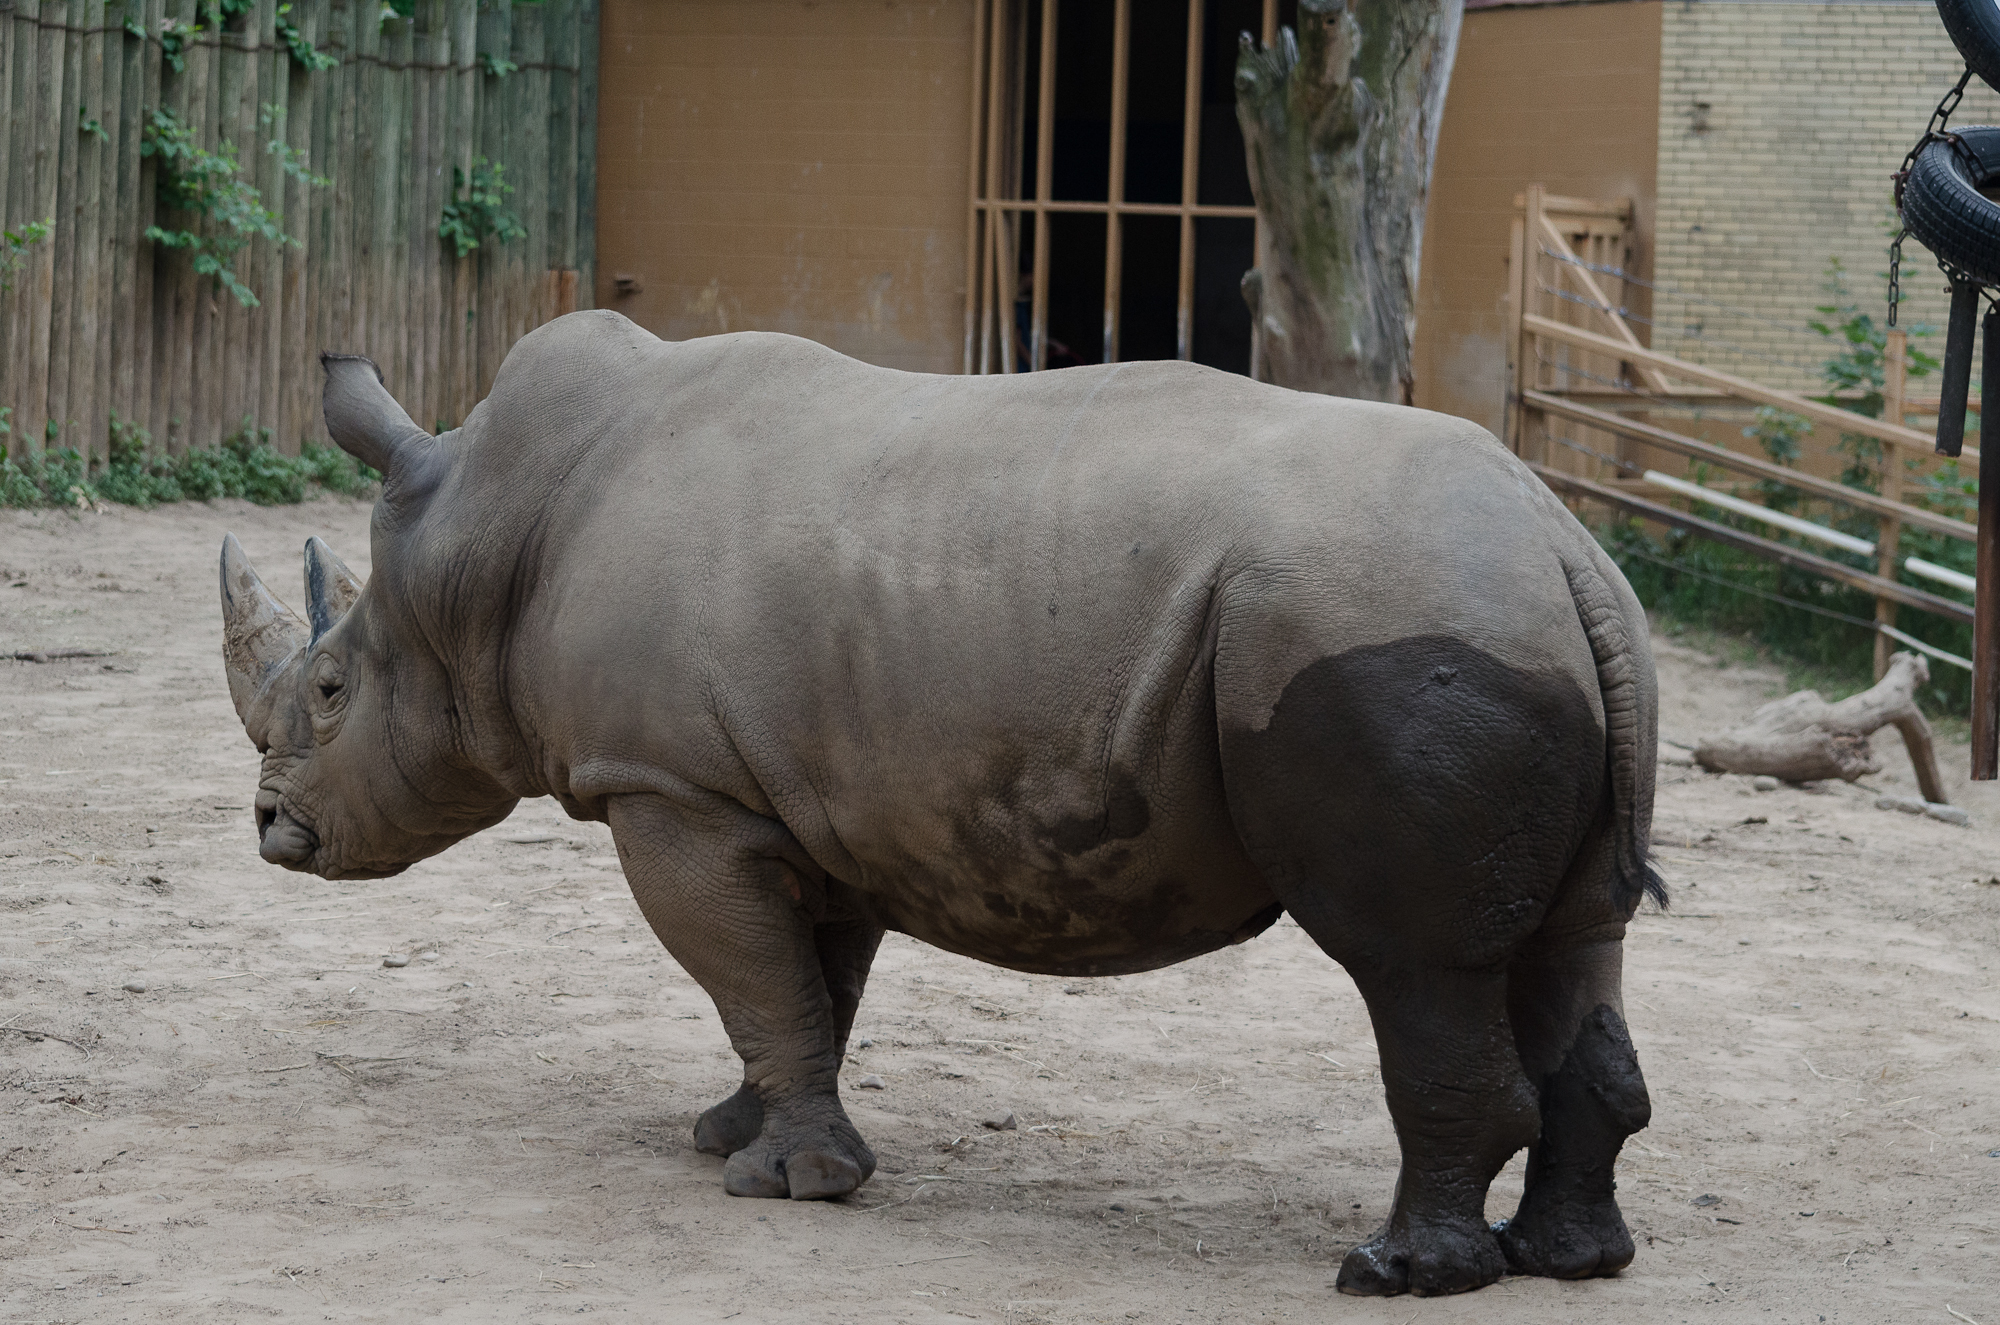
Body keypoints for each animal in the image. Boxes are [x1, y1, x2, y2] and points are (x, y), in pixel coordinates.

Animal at [220, 310, 1663, 1297]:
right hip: (1522, 625)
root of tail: (1570, 548)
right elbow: (801, 985)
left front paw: (788, 1187)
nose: (274, 832)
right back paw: (1569, 1259)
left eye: (333, 690)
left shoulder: (673, 786)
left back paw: (1395, 1271)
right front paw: (734, 1136)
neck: (488, 541)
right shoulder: (801, 796)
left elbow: (751, 973)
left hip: (1387, 630)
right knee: (1575, 942)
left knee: (1409, 960)